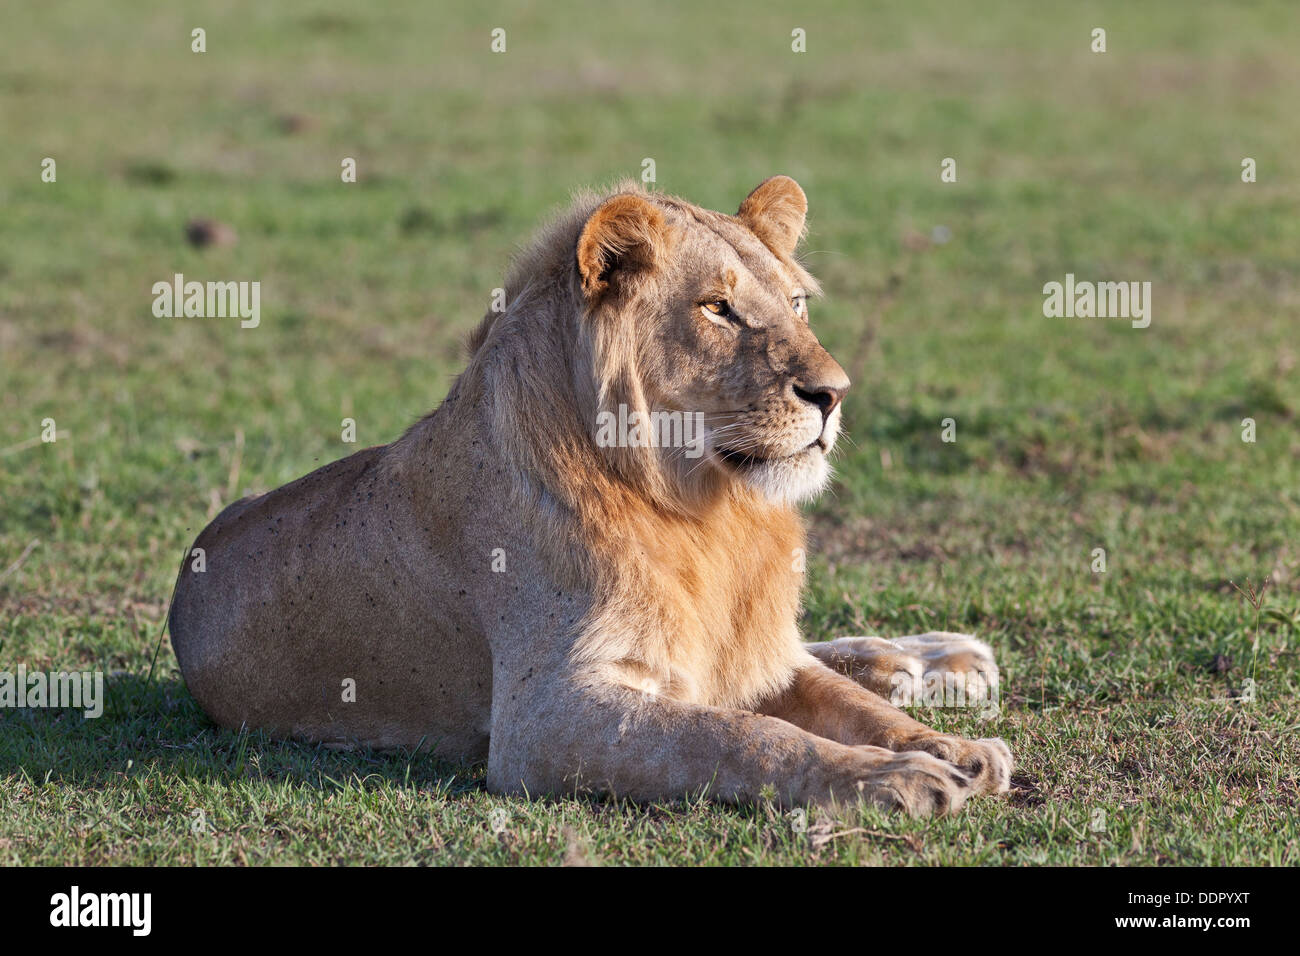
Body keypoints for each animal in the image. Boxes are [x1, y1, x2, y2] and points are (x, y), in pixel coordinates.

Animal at [168, 176, 1012, 815]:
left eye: (797, 305)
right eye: (718, 308)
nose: (834, 394)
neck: (706, 511)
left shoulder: (743, 653)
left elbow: (849, 705)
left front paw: (950, 749)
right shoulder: (541, 719)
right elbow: (741, 736)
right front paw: (897, 778)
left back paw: (934, 658)